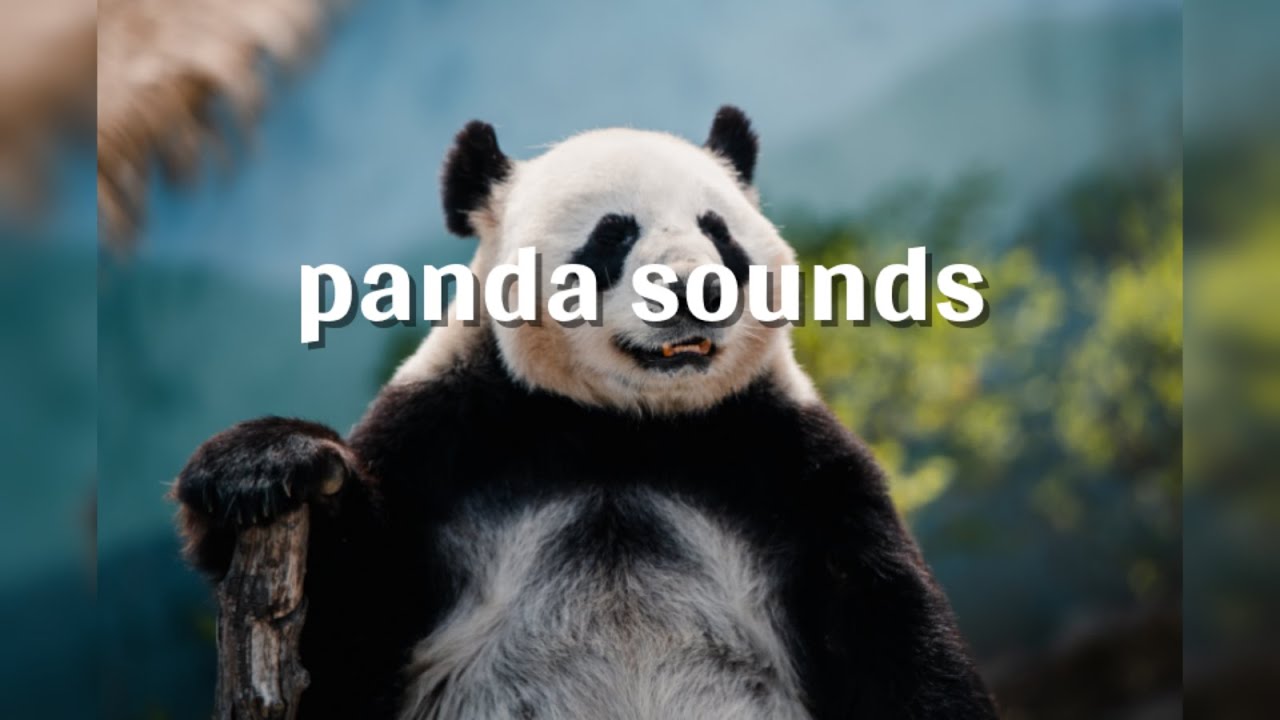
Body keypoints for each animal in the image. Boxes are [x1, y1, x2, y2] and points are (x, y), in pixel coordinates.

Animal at [175, 106, 998, 719]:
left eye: (718, 231)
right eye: (613, 234)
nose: (696, 289)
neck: (621, 427)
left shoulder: (785, 460)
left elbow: (892, 631)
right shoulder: (450, 443)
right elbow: (346, 630)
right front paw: (269, 465)